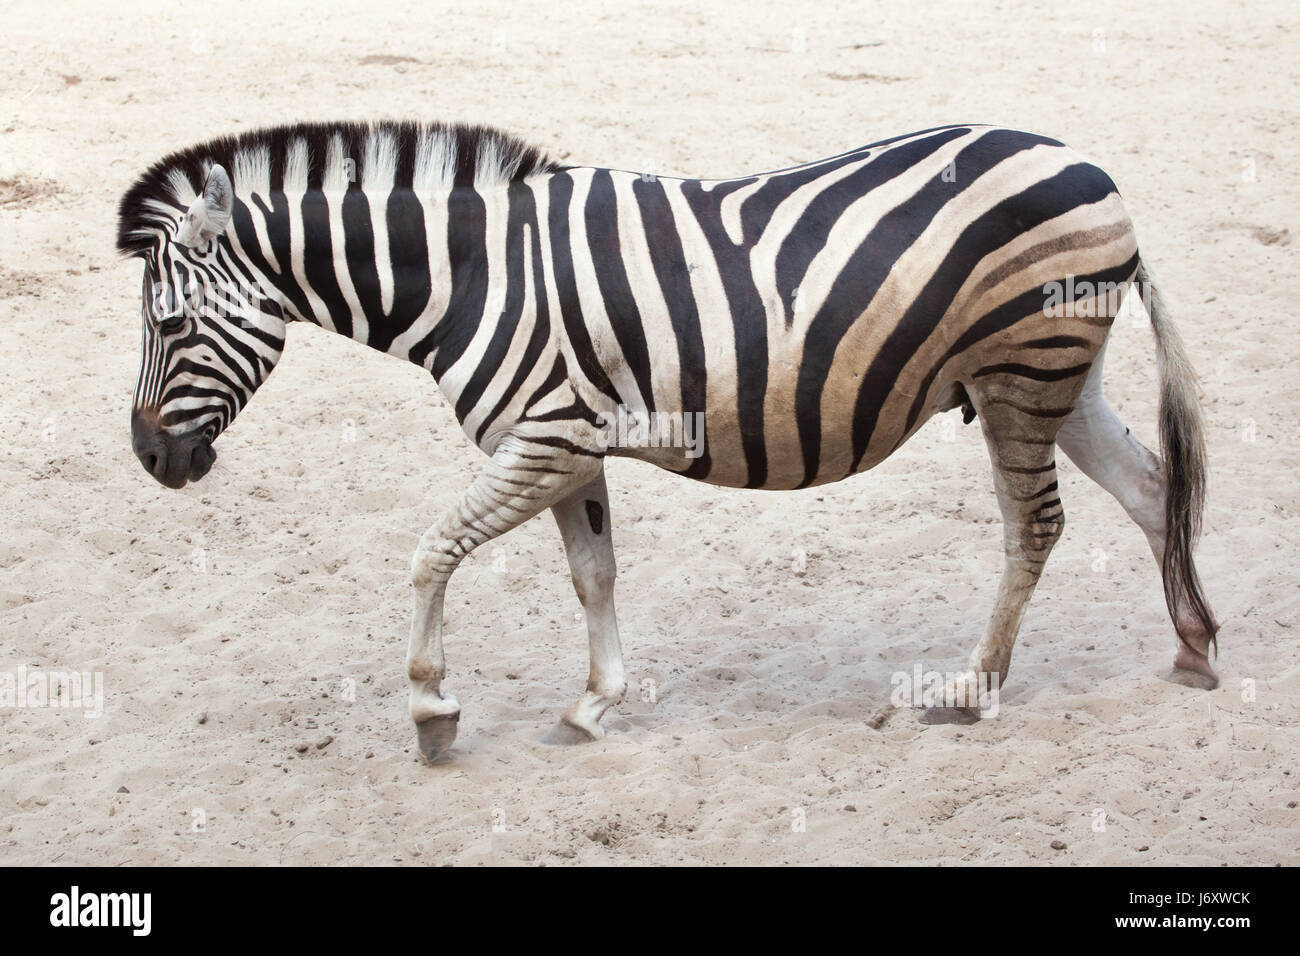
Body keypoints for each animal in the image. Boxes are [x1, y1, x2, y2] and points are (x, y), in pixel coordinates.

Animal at [119, 121, 1216, 764]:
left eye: (169, 325)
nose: (149, 460)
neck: (472, 274)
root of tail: (1088, 164)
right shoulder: (570, 447)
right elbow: (592, 572)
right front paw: (596, 703)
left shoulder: (542, 437)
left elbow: (432, 551)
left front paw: (432, 710)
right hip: (1059, 379)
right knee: (1153, 486)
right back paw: (1192, 647)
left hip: (1019, 375)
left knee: (1035, 525)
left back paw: (973, 690)